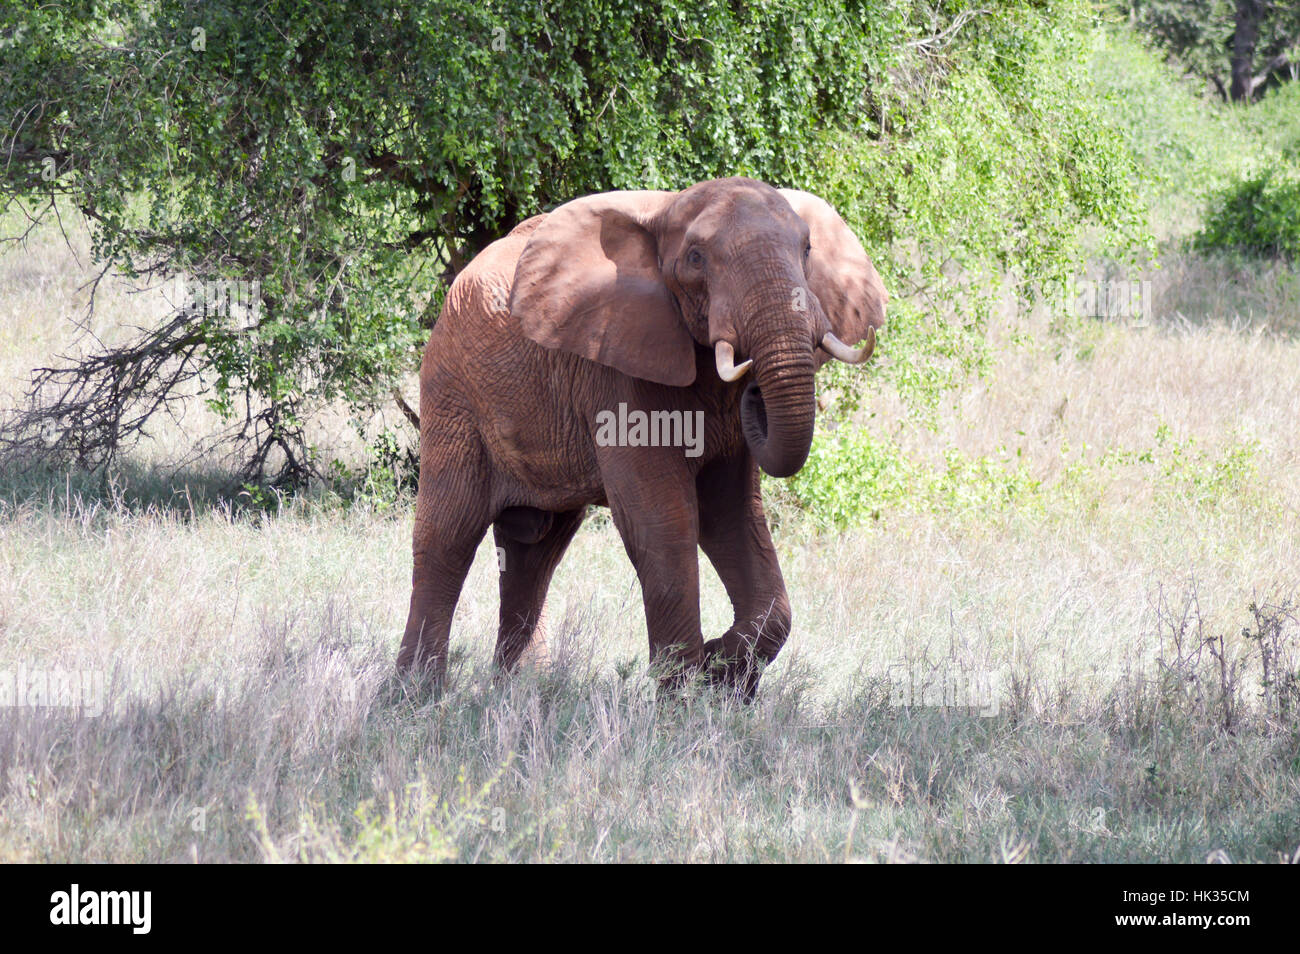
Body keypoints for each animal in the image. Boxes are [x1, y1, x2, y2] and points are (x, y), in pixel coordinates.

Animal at [398, 176, 886, 699]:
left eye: (807, 248)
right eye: (695, 257)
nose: (753, 384)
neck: (667, 209)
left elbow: (732, 516)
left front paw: (722, 677)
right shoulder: (616, 365)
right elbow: (663, 520)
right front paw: (685, 697)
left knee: (535, 549)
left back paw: (520, 690)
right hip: (452, 394)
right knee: (449, 534)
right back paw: (414, 695)